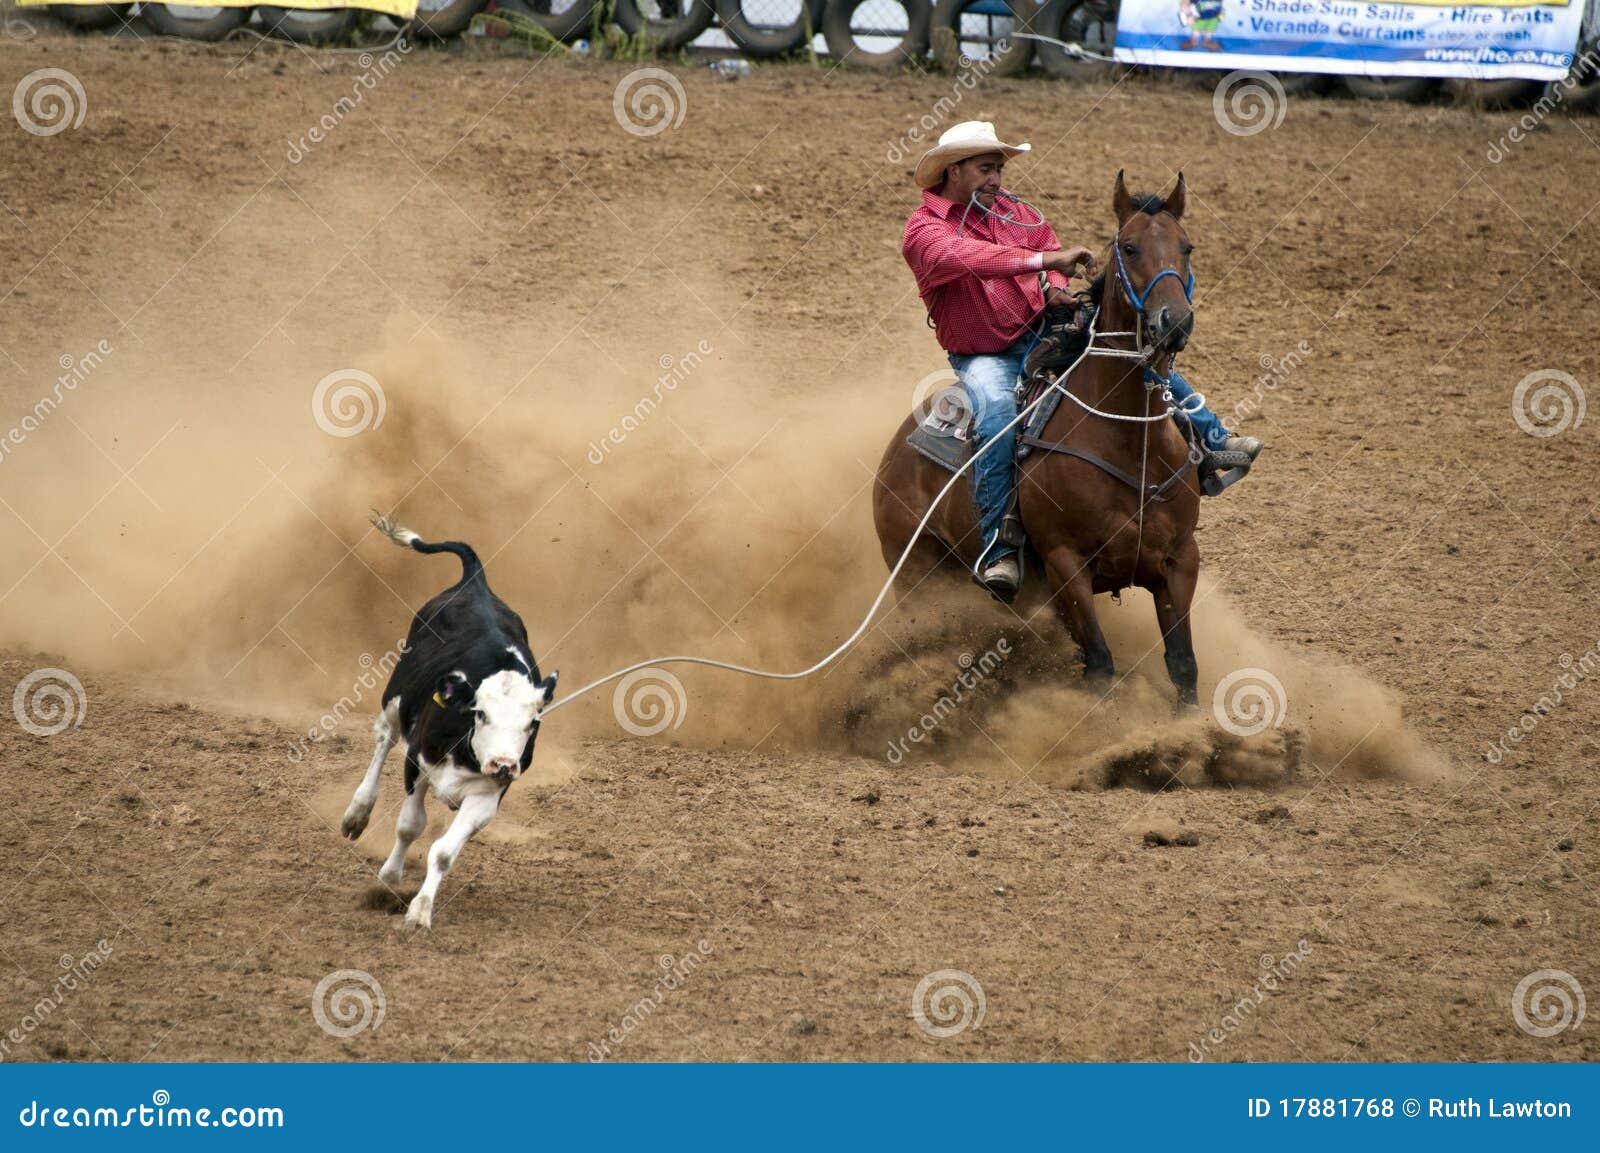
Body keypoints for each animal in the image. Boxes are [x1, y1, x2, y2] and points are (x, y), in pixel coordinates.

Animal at [340, 513, 558, 929]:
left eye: (531, 723)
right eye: (481, 713)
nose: (504, 763)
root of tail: (475, 580)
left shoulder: (488, 794)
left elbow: (443, 852)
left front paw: (421, 910)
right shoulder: (417, 763)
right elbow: (409, 825)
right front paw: (389, 880)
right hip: (395, 698)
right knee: (383, 739)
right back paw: (357, 812)